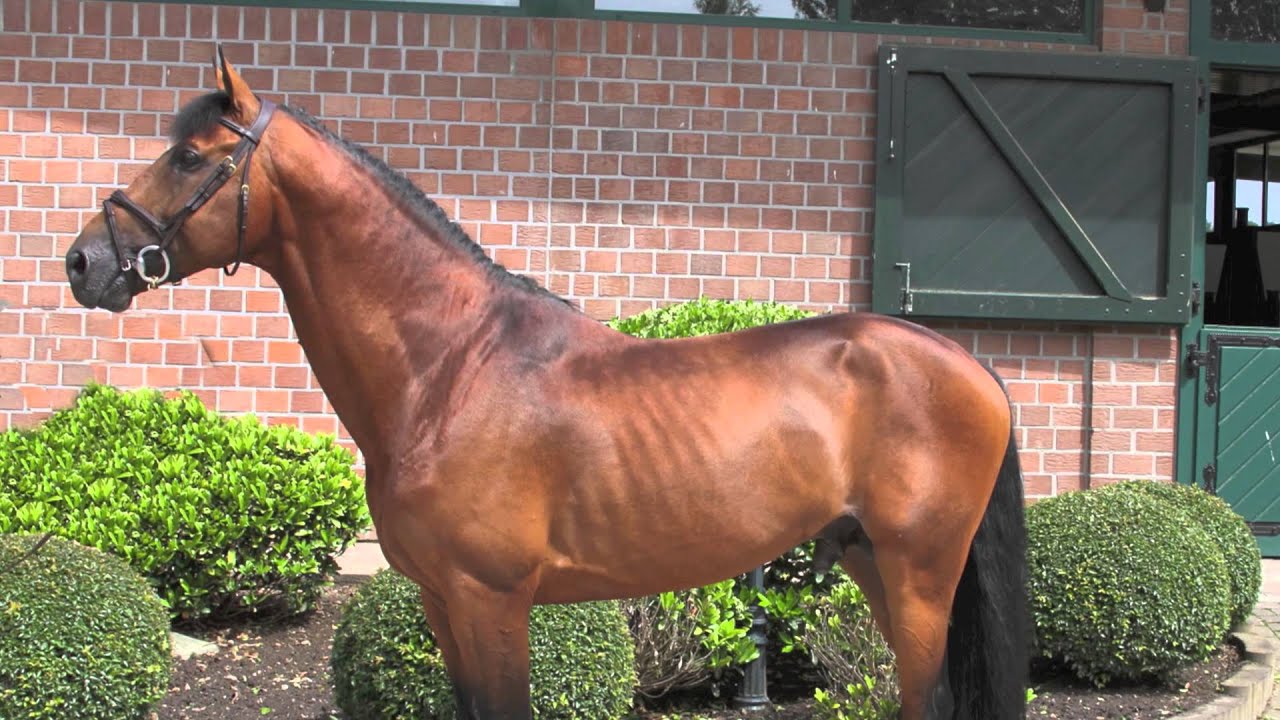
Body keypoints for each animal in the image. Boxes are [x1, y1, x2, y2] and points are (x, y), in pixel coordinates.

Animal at [64, 49, 1029, 720]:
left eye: (191, 158)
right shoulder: (444, 602)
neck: (450, 367)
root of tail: (967, 364)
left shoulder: (491, 599)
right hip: (875, 563)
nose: (85, 262)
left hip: (919, 576)